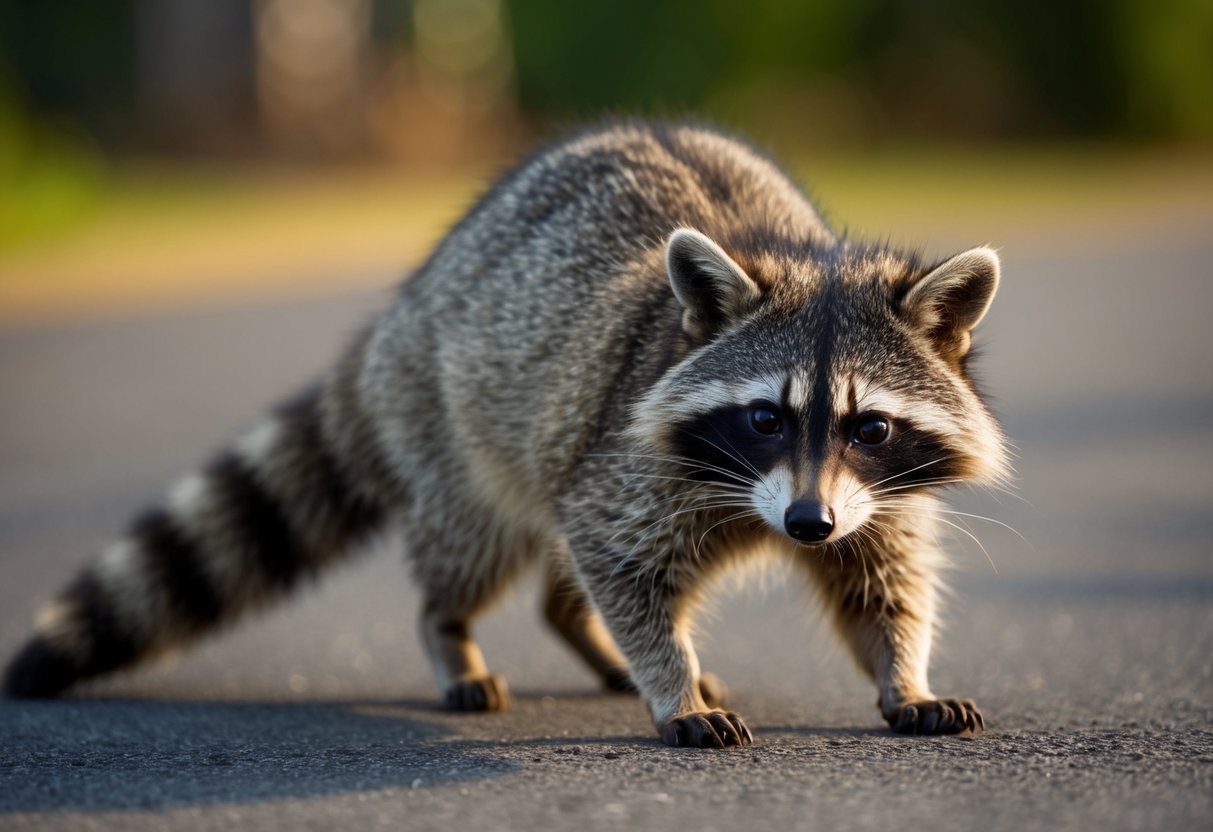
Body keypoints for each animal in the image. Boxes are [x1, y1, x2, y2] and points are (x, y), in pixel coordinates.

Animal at [4, 121, 1009, 748]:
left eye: (868, 424)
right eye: (765, 417)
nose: (806, 526)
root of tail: (403, 309)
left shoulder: (872, 493)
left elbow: (883, 578)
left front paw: (903, 675)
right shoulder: (629, 455)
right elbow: (620, 560)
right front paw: (669, 679)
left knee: (567, 572)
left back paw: (580, 631)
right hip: (458, 427)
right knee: (474, 547)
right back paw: (450, 632)